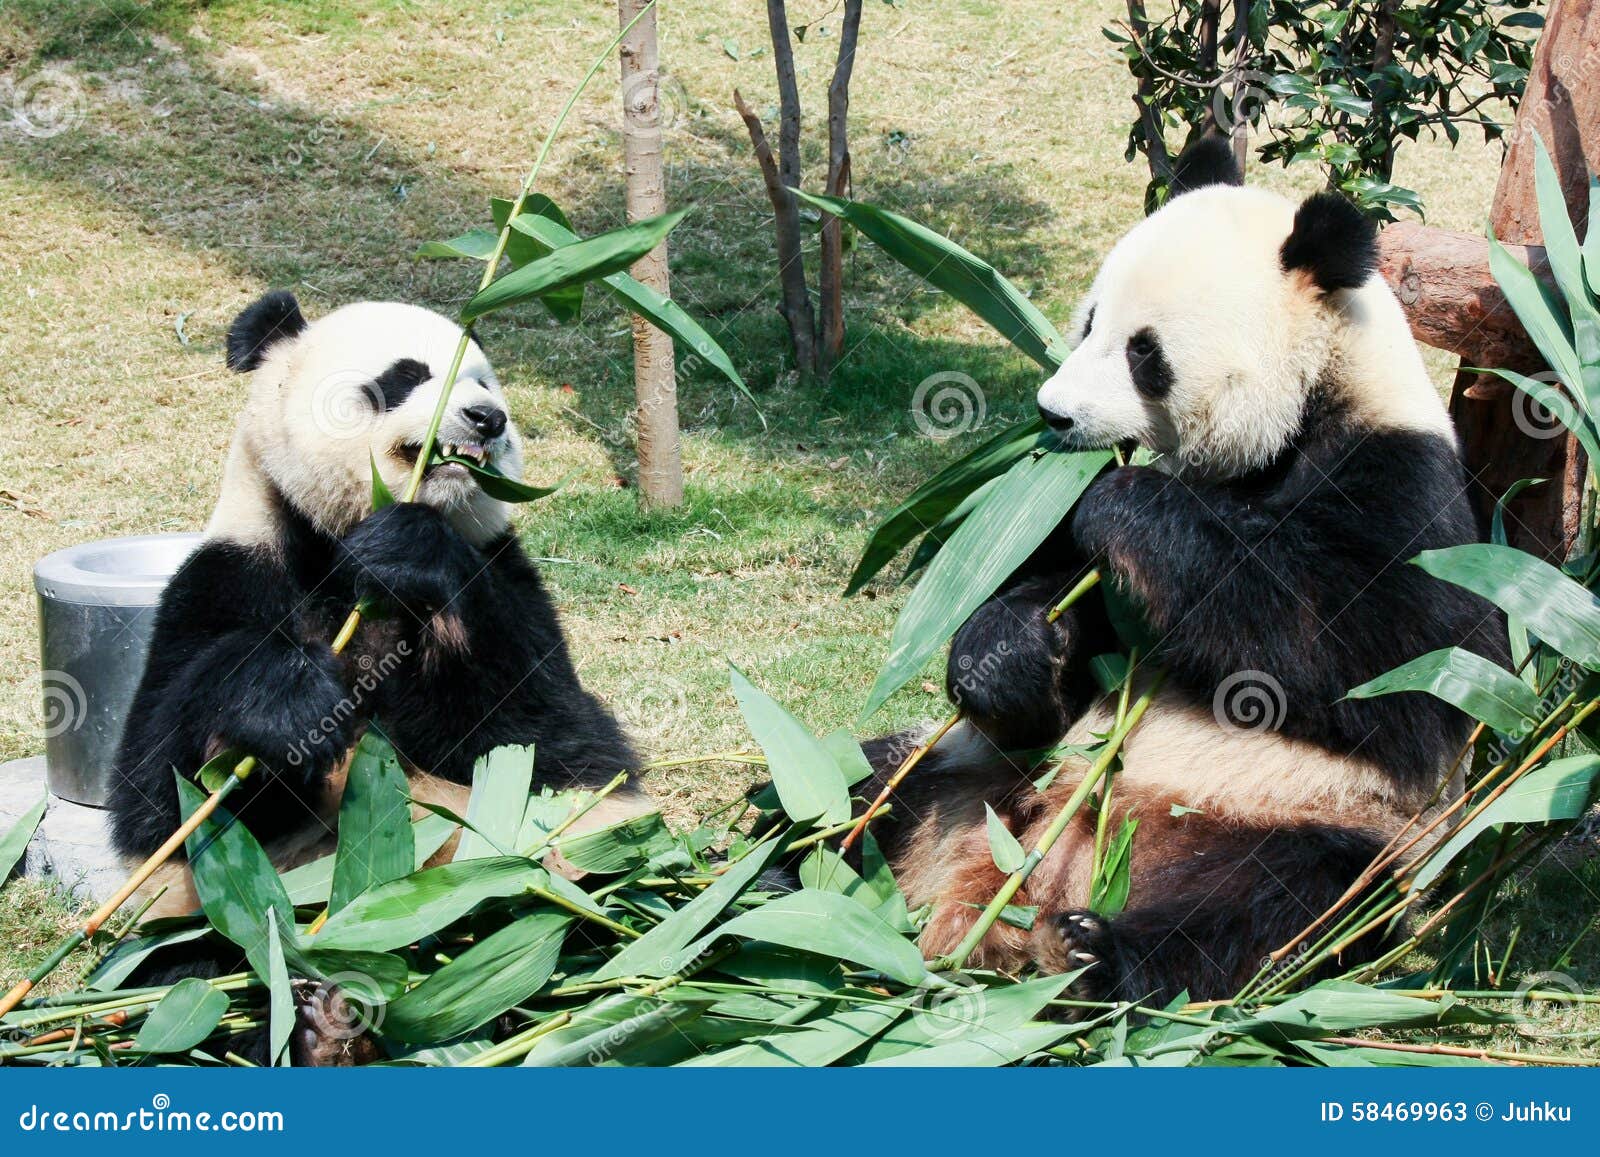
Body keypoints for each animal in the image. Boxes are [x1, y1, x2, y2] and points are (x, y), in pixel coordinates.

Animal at [108, 292, 648, 920]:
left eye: (484, 383)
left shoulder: (501, 567)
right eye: (405, 377)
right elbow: (161, 800)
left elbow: (551, 739)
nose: (489, 419)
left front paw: (406, 549)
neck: (341, 541)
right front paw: (287, 700)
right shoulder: (230, 575)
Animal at [863, 137, 1507, 1007]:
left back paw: (1097, 952)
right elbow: (1064, 633)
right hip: (968, 775)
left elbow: (1379, 663)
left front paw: (1123, 504)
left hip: (1310, 824)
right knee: (859, 793)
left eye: (1145, 351)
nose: (1053, 414)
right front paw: (1003, 653)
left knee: (1275, 905)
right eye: (1090, 319)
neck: (1307, 404)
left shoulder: (1406, 491)